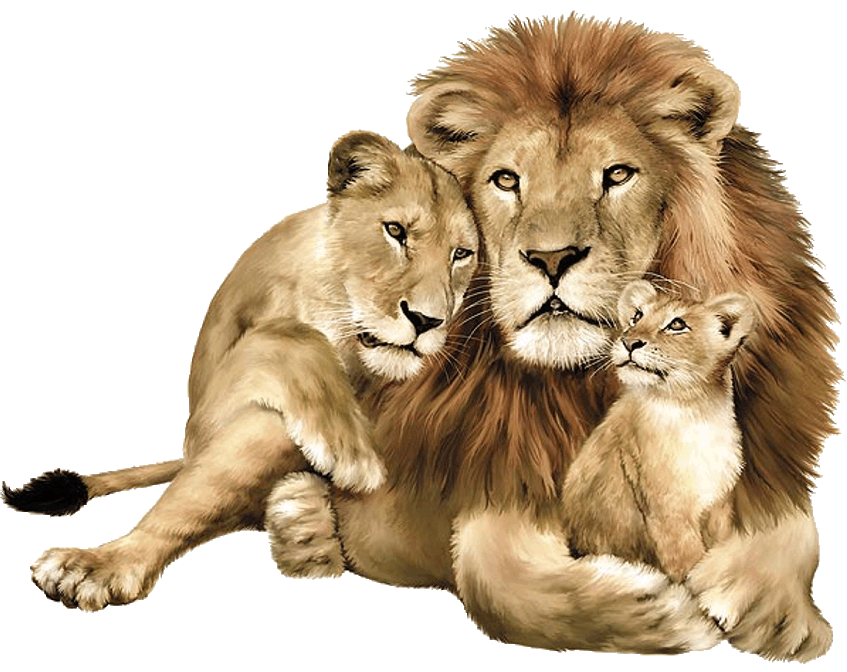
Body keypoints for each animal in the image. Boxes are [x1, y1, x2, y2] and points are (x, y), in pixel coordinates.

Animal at [4, 129, 478, 611]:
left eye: (461, 254)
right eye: (395, 231)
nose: (427, 321)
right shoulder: (212, 405)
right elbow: (290, 333)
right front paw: (351, 453)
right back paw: (95, 565)